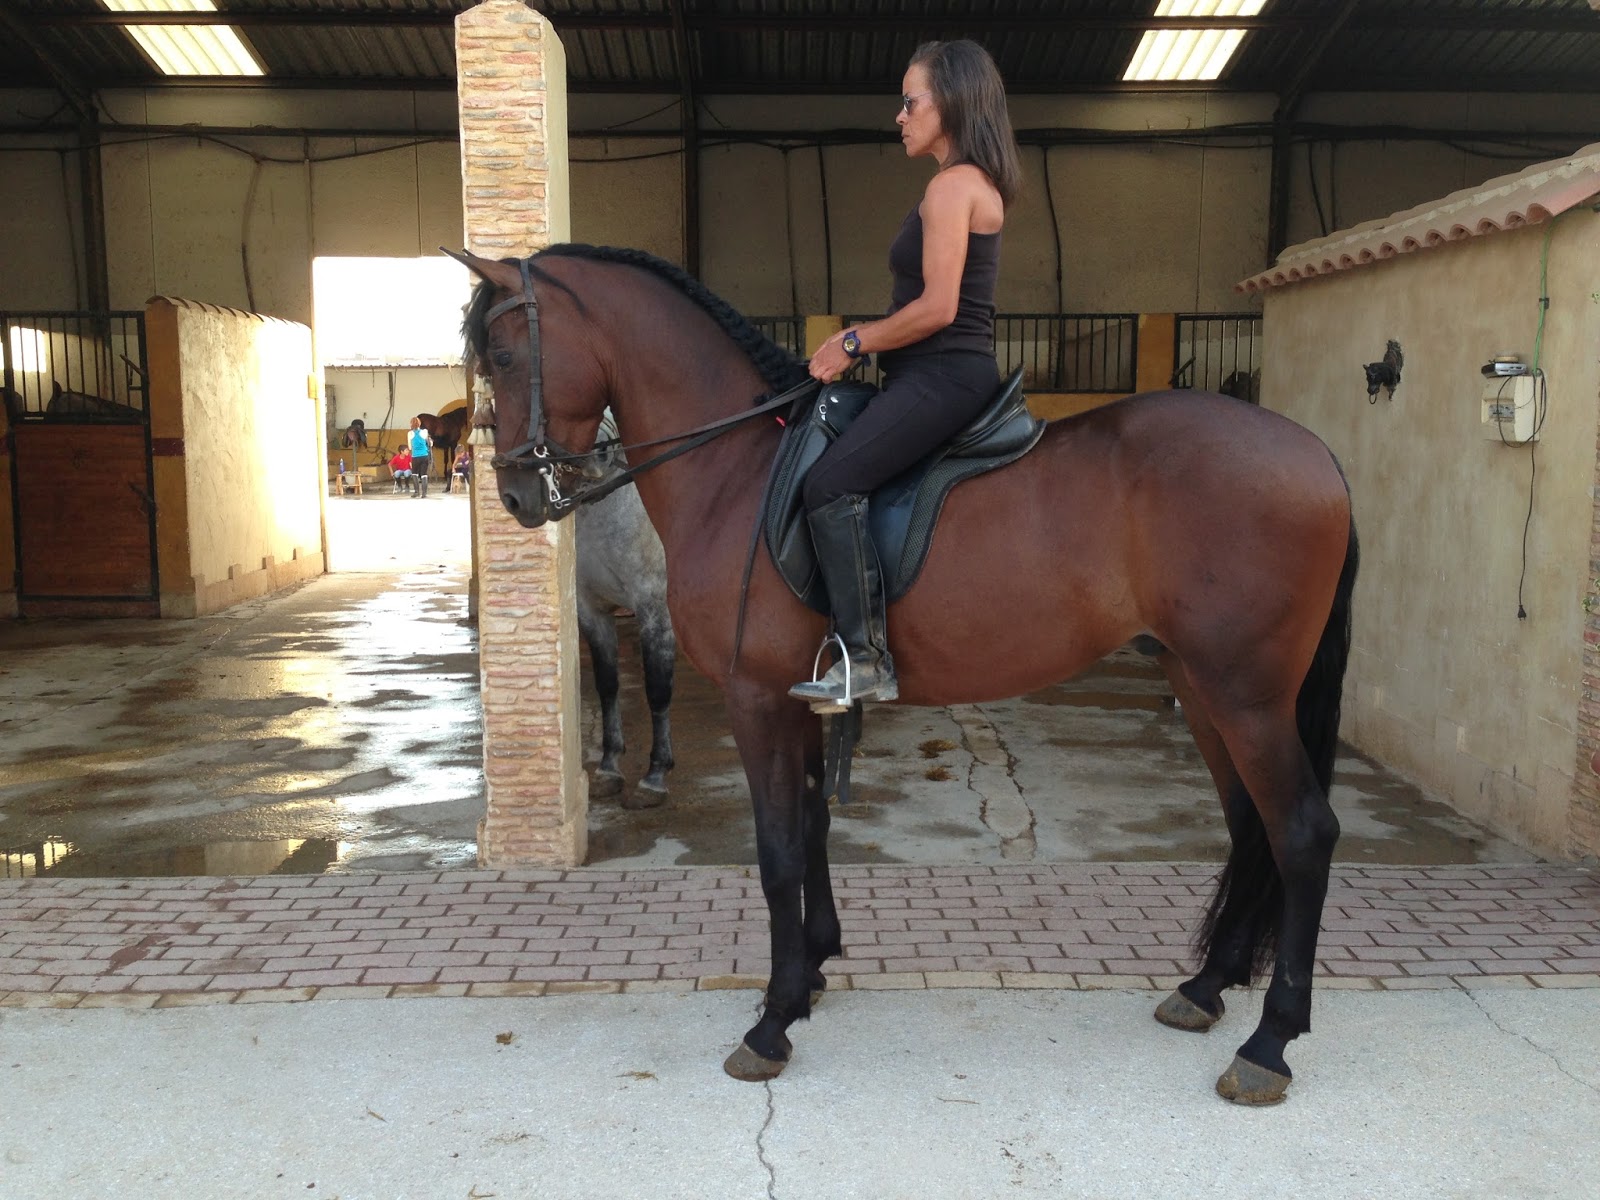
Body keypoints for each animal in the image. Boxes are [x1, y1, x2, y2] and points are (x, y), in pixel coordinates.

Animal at [574, 423, 676, 808]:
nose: (596, 452)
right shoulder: (592, 611)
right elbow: (607, 686)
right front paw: (608, 767)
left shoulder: (655, 611)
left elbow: (657, 689)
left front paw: (655, 775)